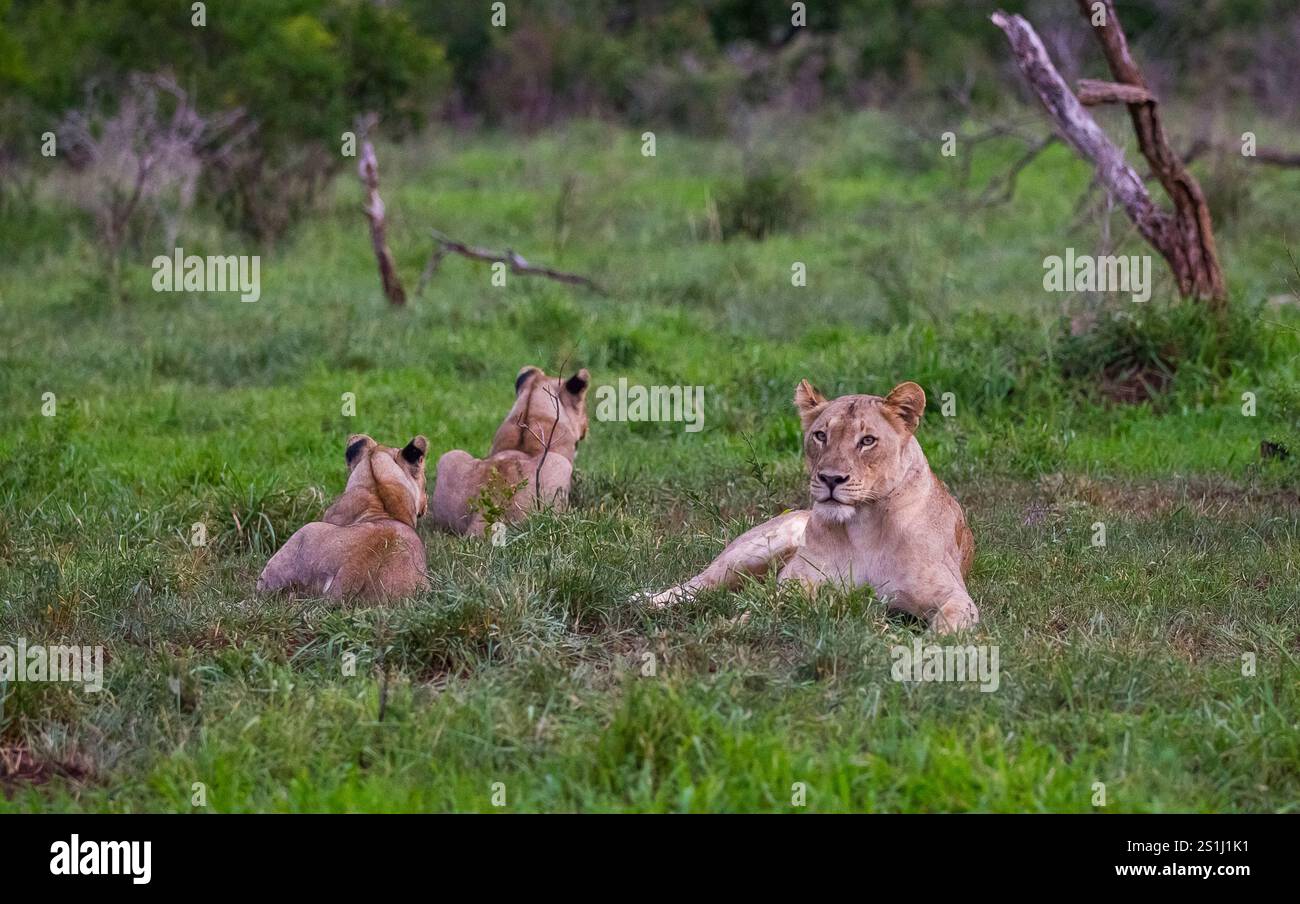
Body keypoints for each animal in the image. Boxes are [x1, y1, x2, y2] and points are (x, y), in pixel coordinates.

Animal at [645, 381, 979, 633]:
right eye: (821, 435)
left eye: (867, 441)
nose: (831, 478)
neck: (865, 526)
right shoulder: (796, 586)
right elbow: (761, 609)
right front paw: (730, 627)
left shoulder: (954, 595)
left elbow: (950, 624)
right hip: (752, 552)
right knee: (697, 585)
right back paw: (644, 603)